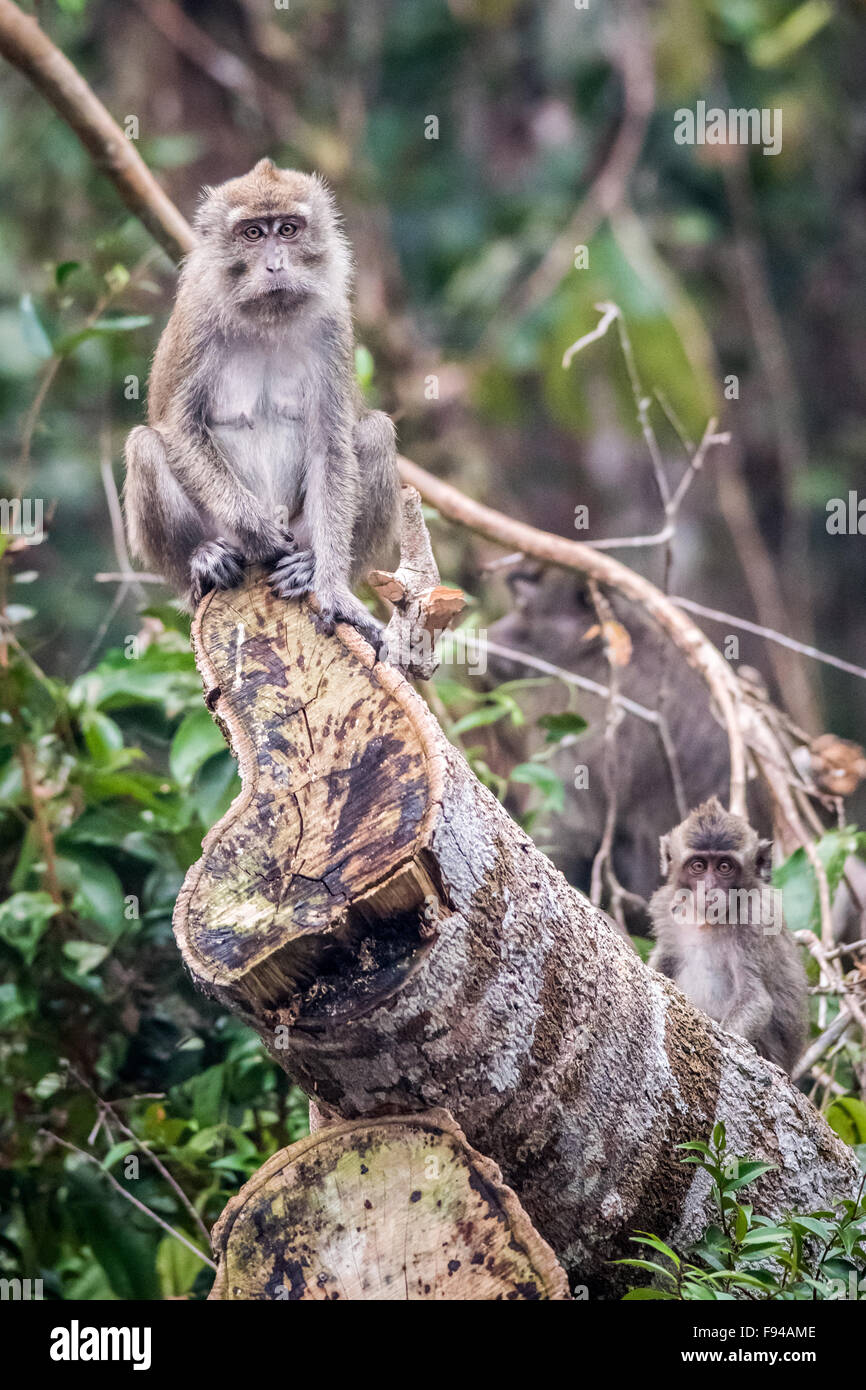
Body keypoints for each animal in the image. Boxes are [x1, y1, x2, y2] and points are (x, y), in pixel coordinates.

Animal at [124, 159, 400, 649]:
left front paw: (333, 589)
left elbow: (332, 443)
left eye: (288, 230)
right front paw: (258, 530)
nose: (275, 264)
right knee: (145, 444)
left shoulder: (332, 324)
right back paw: (203, 562)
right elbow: (180, 428)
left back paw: (310, 565)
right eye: (252, 234)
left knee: (375, 432)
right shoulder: (197, 315)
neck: (267, 318)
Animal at [648, 798, 807, 1074]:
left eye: (724, 867)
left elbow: (755, 998)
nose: (710, 891)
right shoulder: (666, 907)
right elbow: (664, 960)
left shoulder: (756, 921)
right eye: (698, 866)